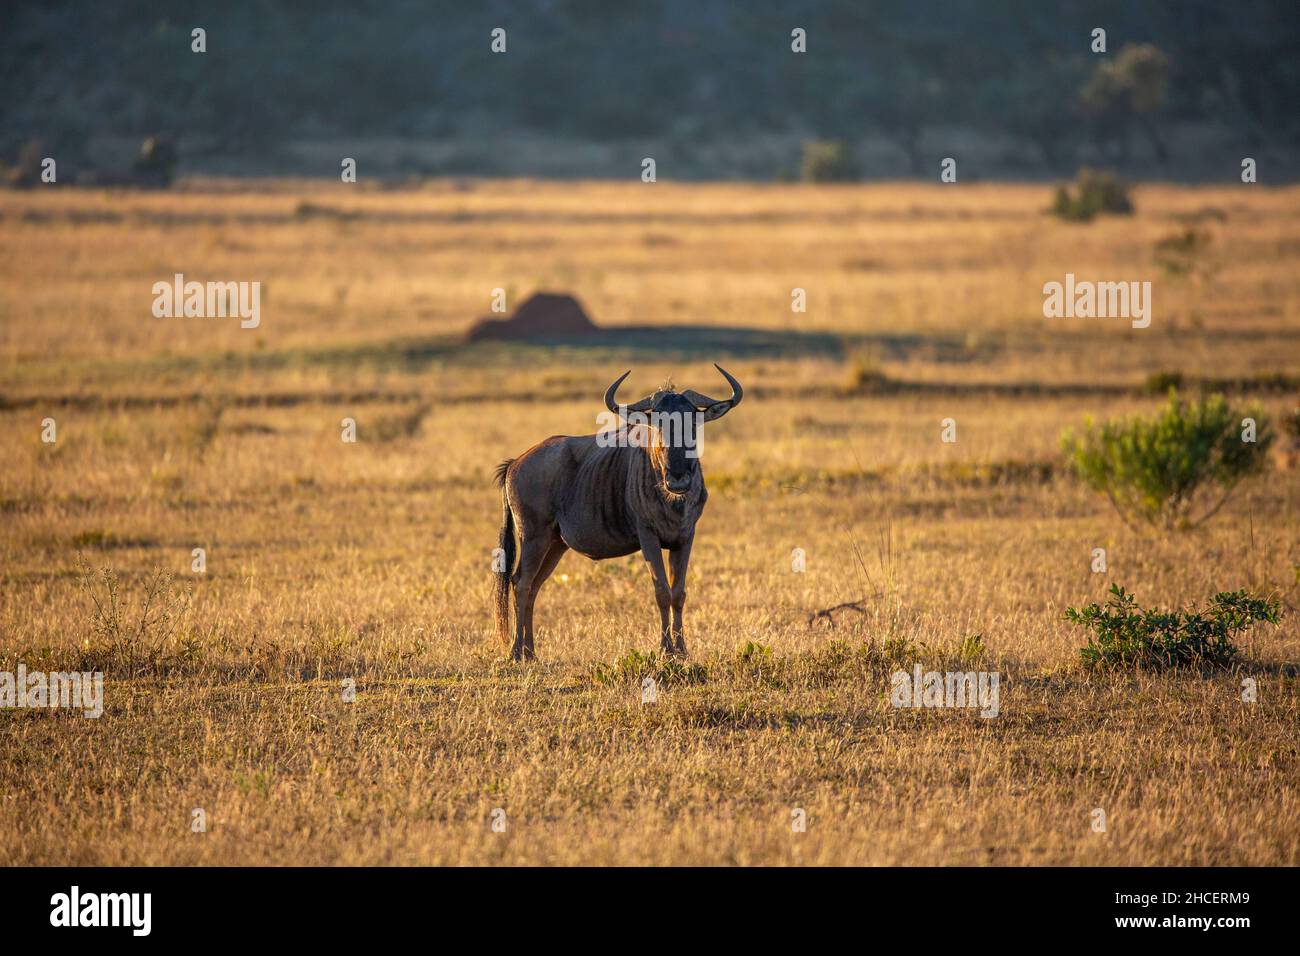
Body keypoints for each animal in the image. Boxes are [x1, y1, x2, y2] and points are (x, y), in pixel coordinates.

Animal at [492, 365, 743, 660]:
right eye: (658, 423)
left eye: (693, 422)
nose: (678, 480)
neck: (672, 501)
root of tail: (515, 463)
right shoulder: (648, 537)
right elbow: (662, 591)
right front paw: (665, 650)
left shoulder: (685, 538)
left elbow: (679, 593)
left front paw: (682, 652)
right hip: (534, 537)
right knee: (520, 583)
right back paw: (516, 652)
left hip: (555, 544)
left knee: (533, 586)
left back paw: (530, 652)